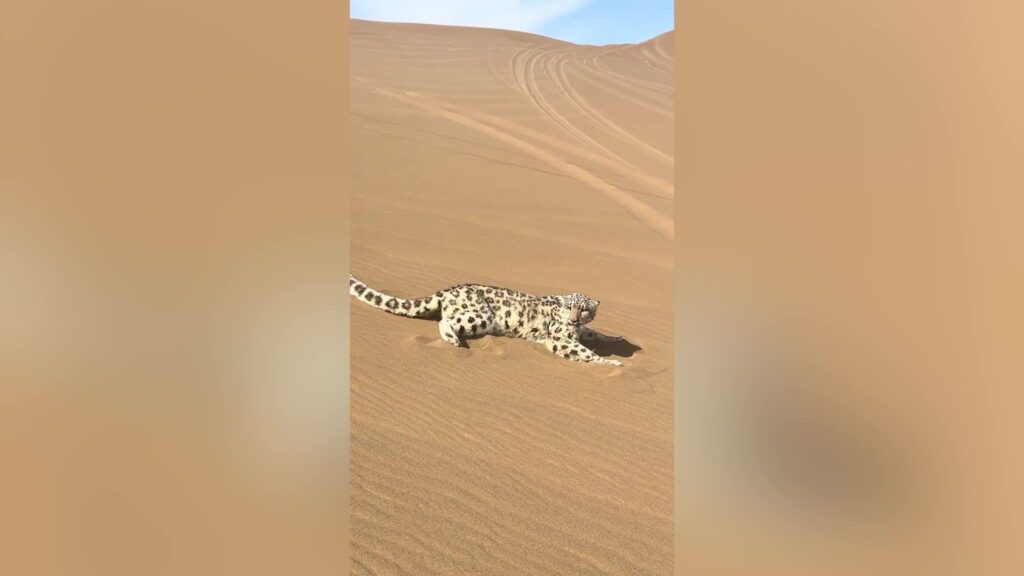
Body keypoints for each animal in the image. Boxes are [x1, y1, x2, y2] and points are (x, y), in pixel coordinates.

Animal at [349, 274, 625, 366]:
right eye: (569, 307)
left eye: (585, 310)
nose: (575, 320)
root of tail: (448, 290)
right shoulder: (561, 340)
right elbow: (584, 351)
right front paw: (611, 363)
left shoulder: (579, 332)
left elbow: (594, 334)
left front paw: (615, 338)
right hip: (480, 316)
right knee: (445, 321)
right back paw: (453, 341)